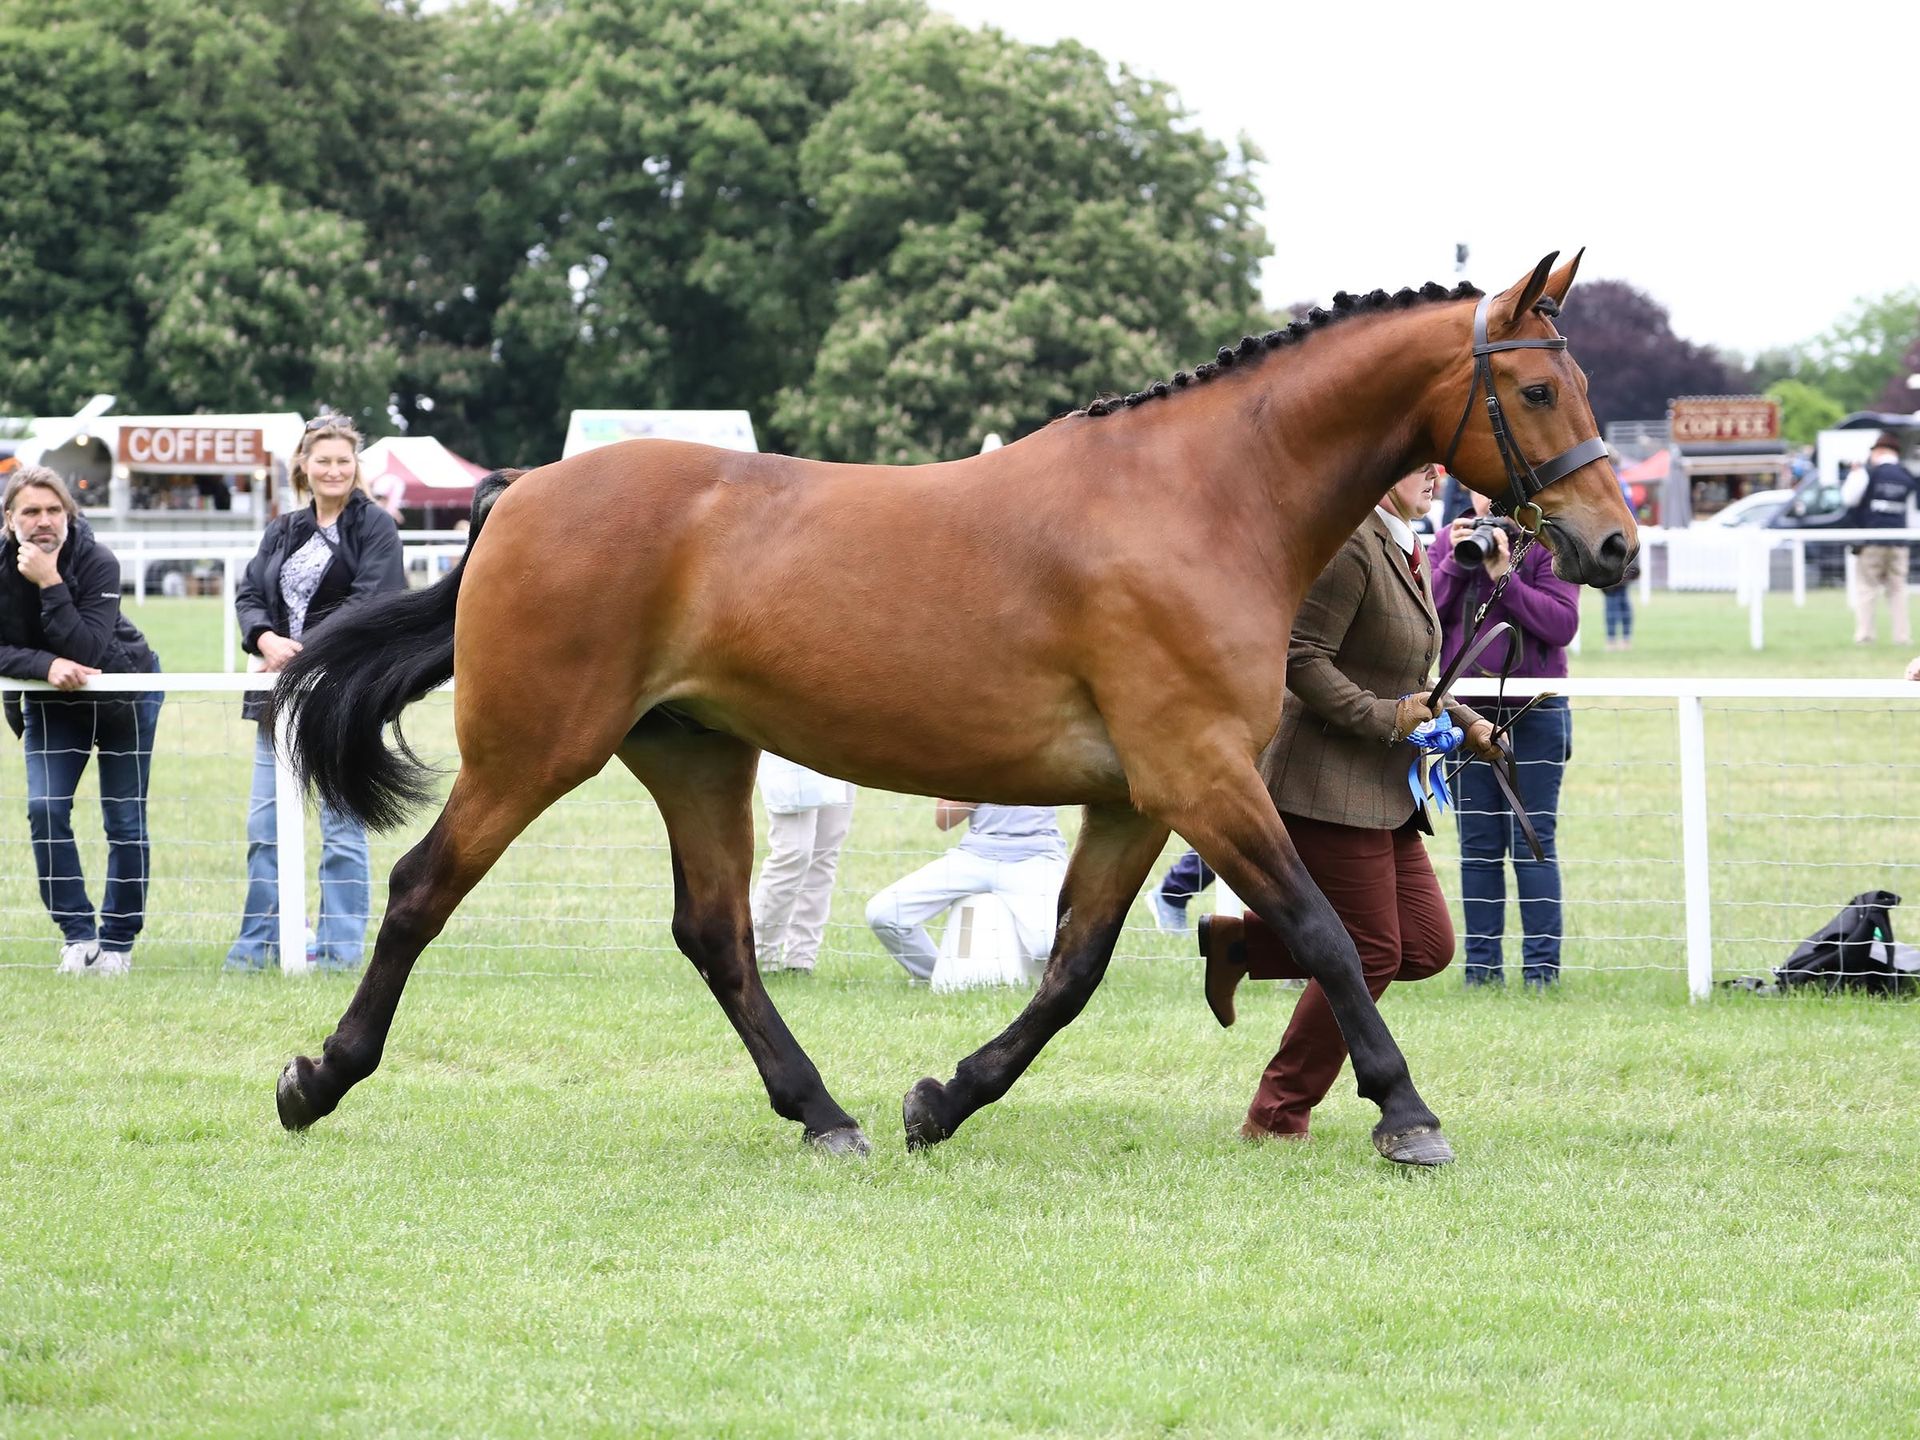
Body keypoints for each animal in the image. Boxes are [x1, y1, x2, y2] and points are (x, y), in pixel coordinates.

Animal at [268, 250, 1635, 1165]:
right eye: (1541, 392)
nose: (1614, 546)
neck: (1205, 496)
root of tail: (521, 493)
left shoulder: (1138, 800)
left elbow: (1074, 969)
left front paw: (944, 1099)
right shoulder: (1201, 776)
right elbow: (1324, 932)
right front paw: (1408, 1113)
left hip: (696, 758)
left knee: (717, 936)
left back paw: (826, 1115)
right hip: (534, 752)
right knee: (423, 891)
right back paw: (318, 1078)